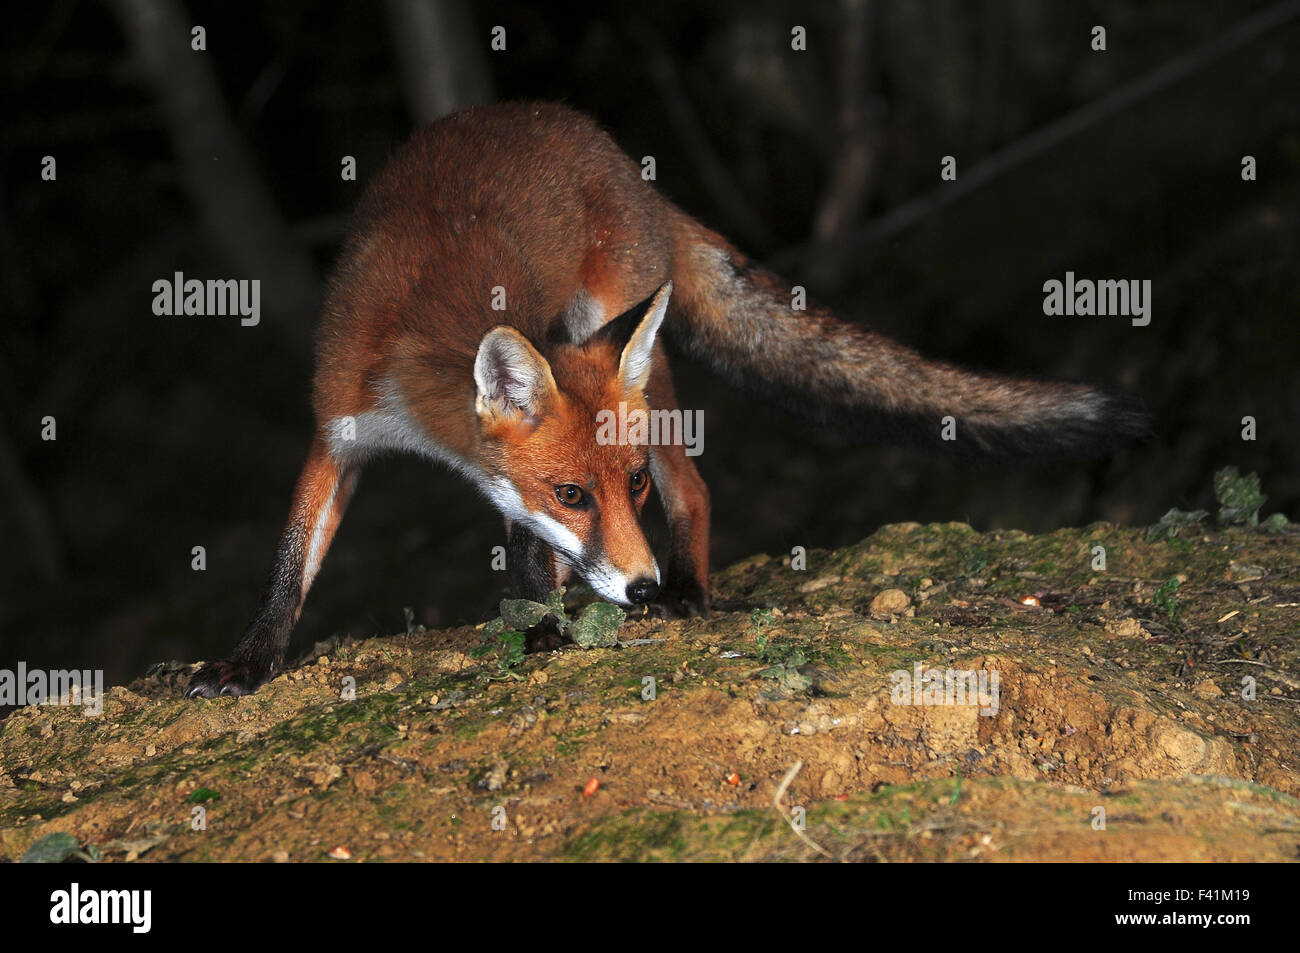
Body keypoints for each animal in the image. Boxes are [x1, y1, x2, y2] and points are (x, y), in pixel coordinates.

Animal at [187, 101, 1146, 698]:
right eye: (572, 492)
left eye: (630, 487)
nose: (643, 590)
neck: (416, 339)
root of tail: (617, 154)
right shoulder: (339, 430)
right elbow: (290, 563)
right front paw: (248, 660)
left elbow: (530, 549)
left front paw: (543, 626)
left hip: (636, 363)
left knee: (699, 487)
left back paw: (691, 588)